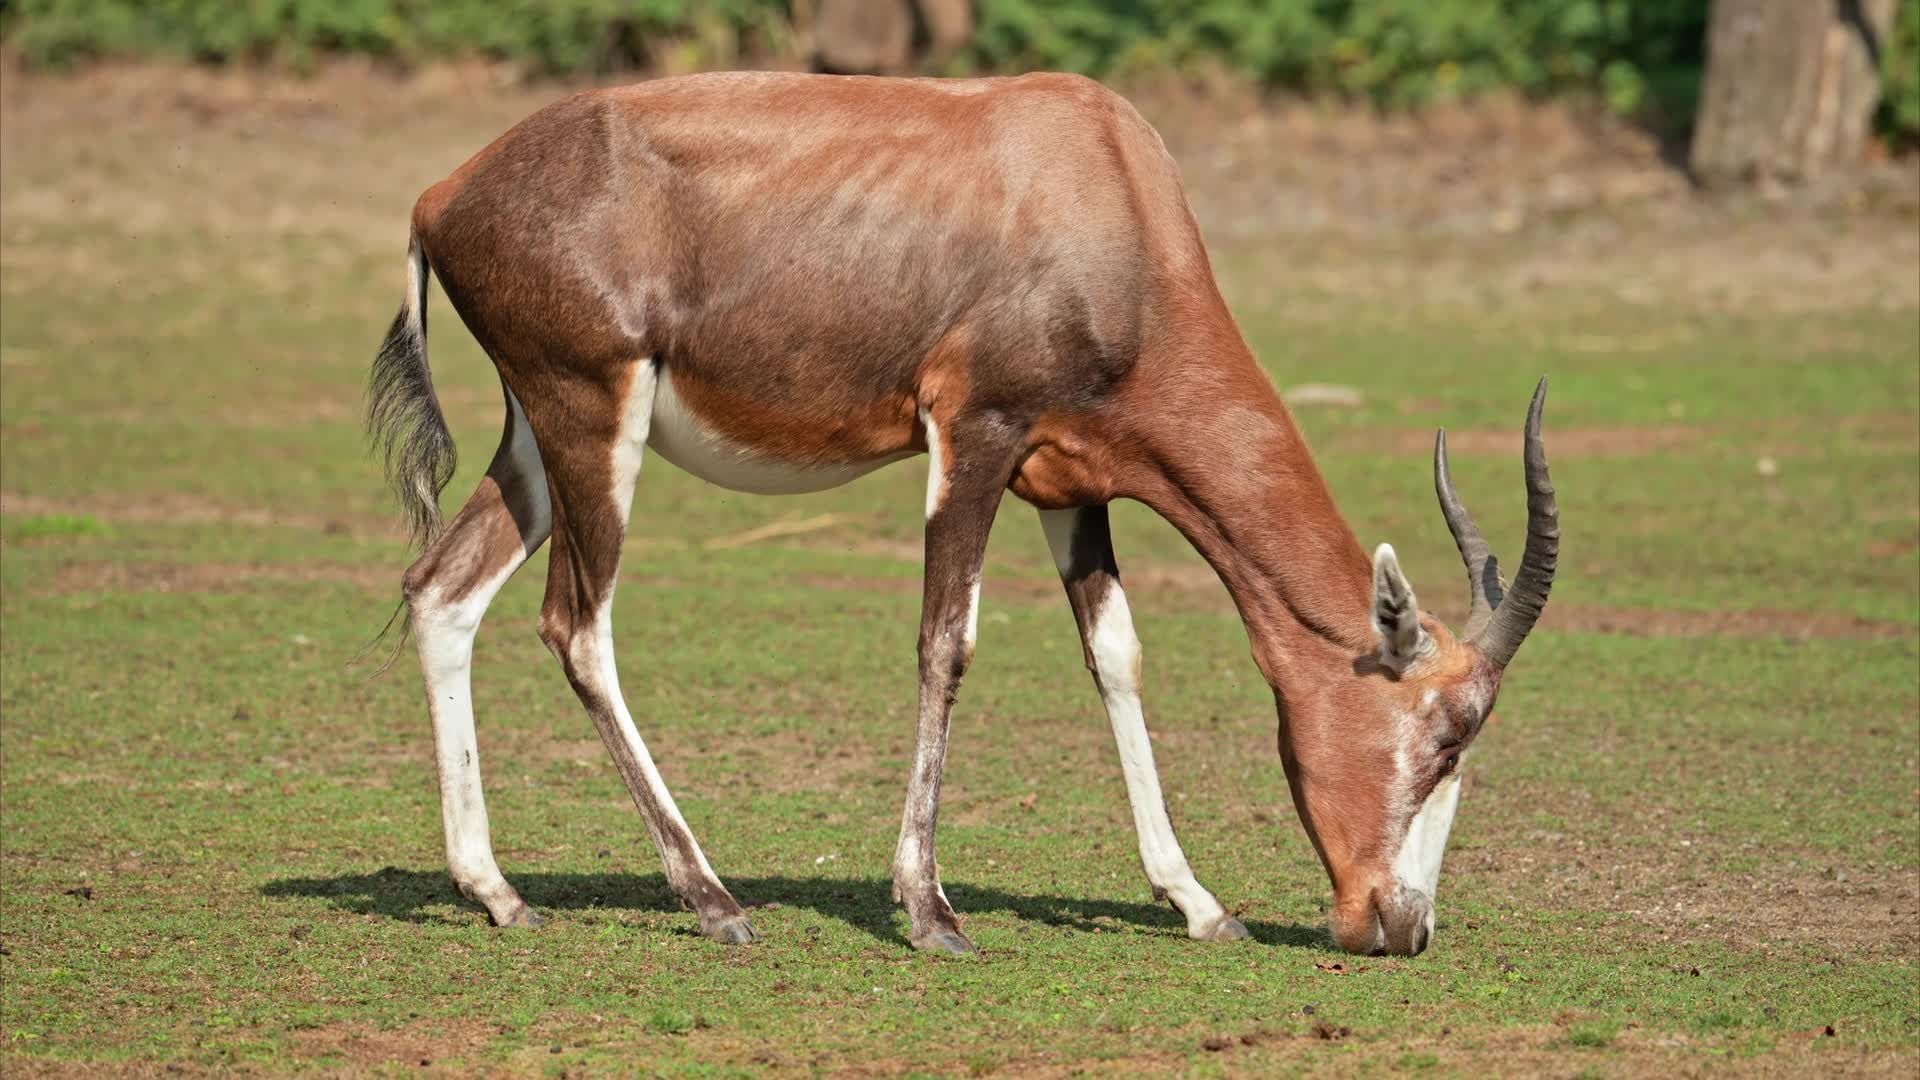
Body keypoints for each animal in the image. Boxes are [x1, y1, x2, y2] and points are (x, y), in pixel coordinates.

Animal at [368, 70, 1558, 956]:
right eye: (1450, 732)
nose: (1400, 926)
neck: (1102, 182)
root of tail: (442, 195)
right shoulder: (974, 435)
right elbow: (947, 645)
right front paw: (931, 912)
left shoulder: (1072, 482)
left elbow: (1117, 657)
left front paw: (1200, 905)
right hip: (591, 421)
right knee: (578, 627)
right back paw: (713, 900)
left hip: (536, 439)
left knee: (442, 591)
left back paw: (498, 893)